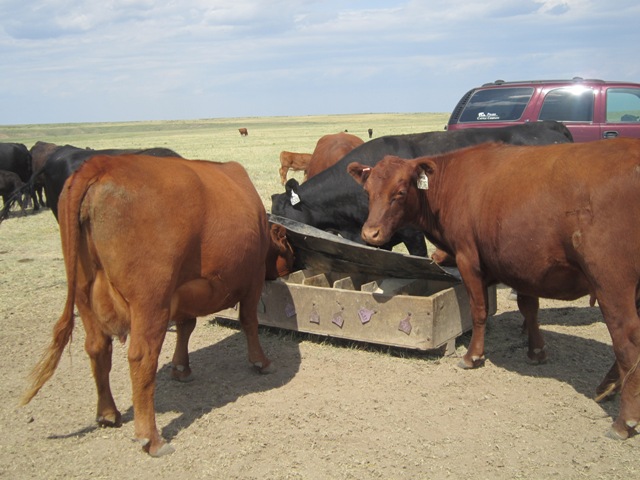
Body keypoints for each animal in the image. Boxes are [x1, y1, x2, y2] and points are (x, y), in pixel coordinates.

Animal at [21, 153, 294, 456]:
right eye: (287, 246)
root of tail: (102, 163)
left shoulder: (185, 292)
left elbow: (186, 327)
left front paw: (181, 368)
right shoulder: (253, 280)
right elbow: (249, 321)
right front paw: (261, 361)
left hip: (84, 296)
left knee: (97, 348)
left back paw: (108, 413)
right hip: (150, 302)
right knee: (141, 357)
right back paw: (151, 438)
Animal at [347, 138, 640, 440]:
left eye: (401, 192)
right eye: (368, 192)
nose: (370, 233)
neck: (452, 182)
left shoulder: (468, 259)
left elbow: (479, 310)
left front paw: (473, 356)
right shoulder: (523, 264)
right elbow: (529, 308)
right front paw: (536, 352)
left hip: (611, 284)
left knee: (627, 343)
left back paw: (624, 421)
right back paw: (607, 387)